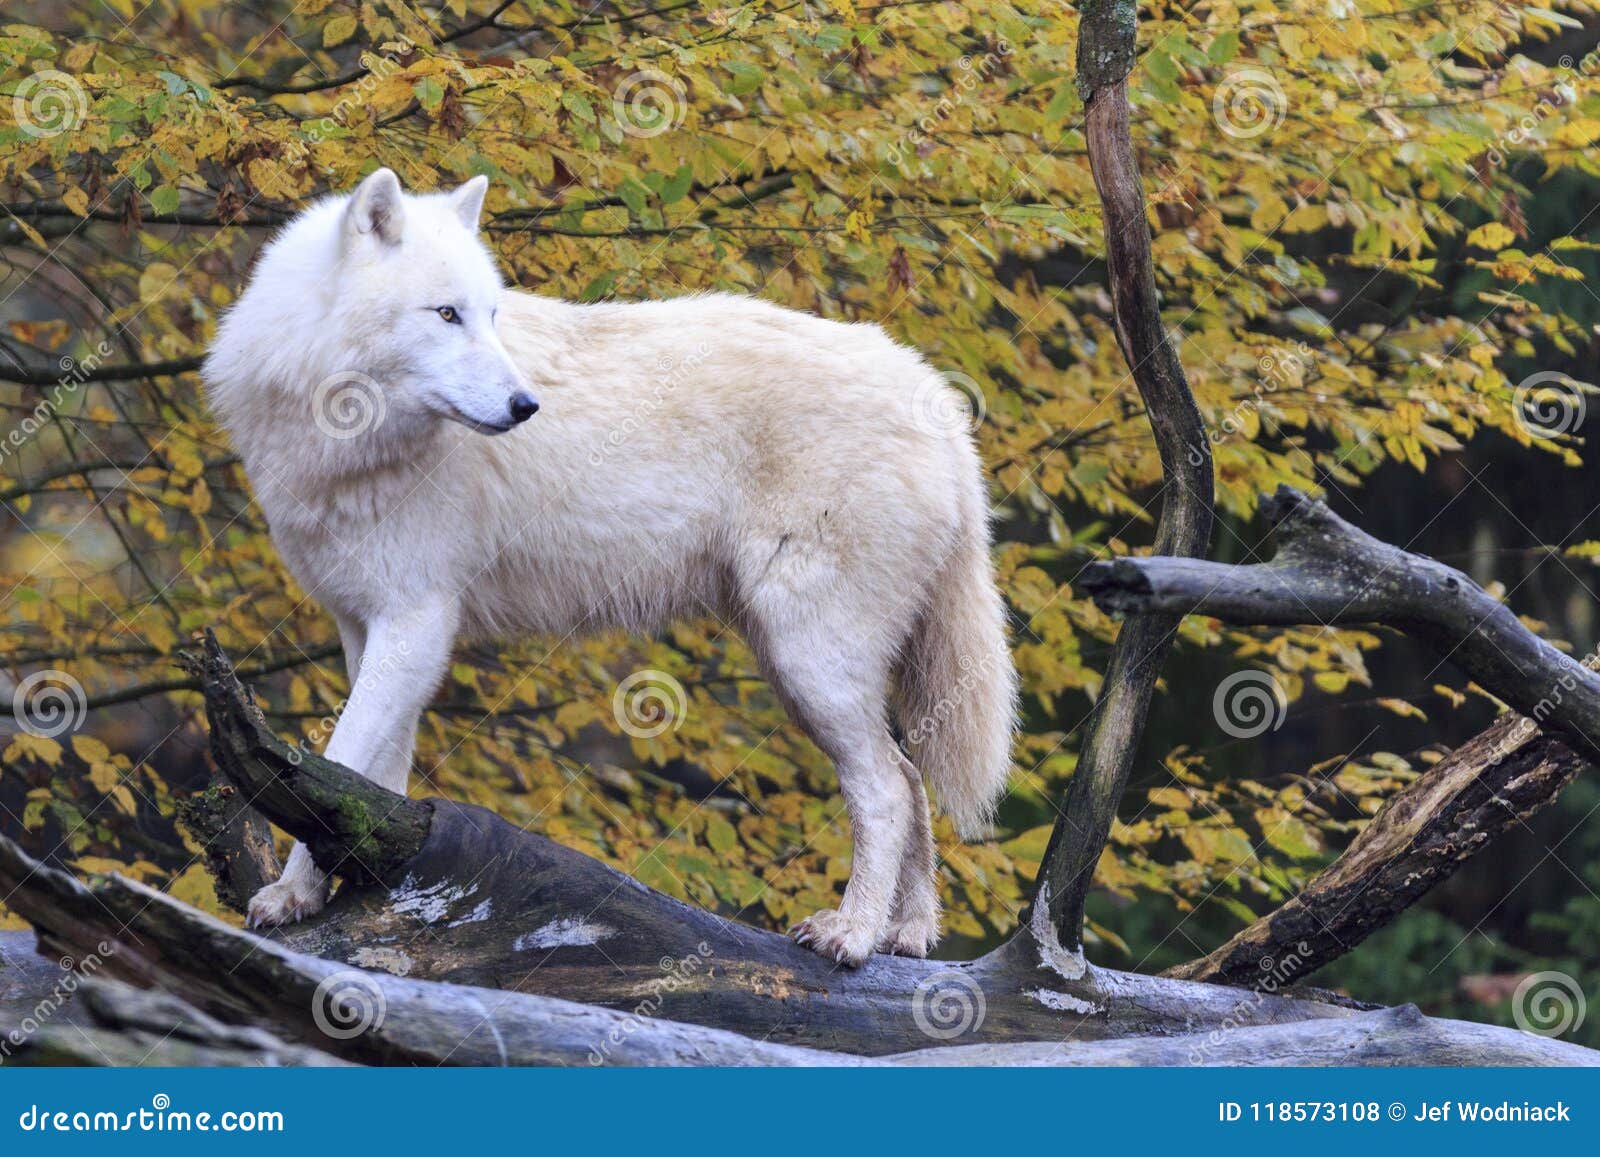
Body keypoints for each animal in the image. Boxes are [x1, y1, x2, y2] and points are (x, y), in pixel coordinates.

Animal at [203, 168, 1017, 965]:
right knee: (911, 778)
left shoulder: (417, 622)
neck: (336, 431)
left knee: (885, 787)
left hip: (810, 662)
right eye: (447, 314)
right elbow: (364, 777)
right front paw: (355, 893)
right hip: (795, 665)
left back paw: (853, 935)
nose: (525, 404)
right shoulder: (363, 625)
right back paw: (908, 934)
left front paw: (302, 892)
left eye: (490, 315)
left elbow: (336, 756)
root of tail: (932, 393)